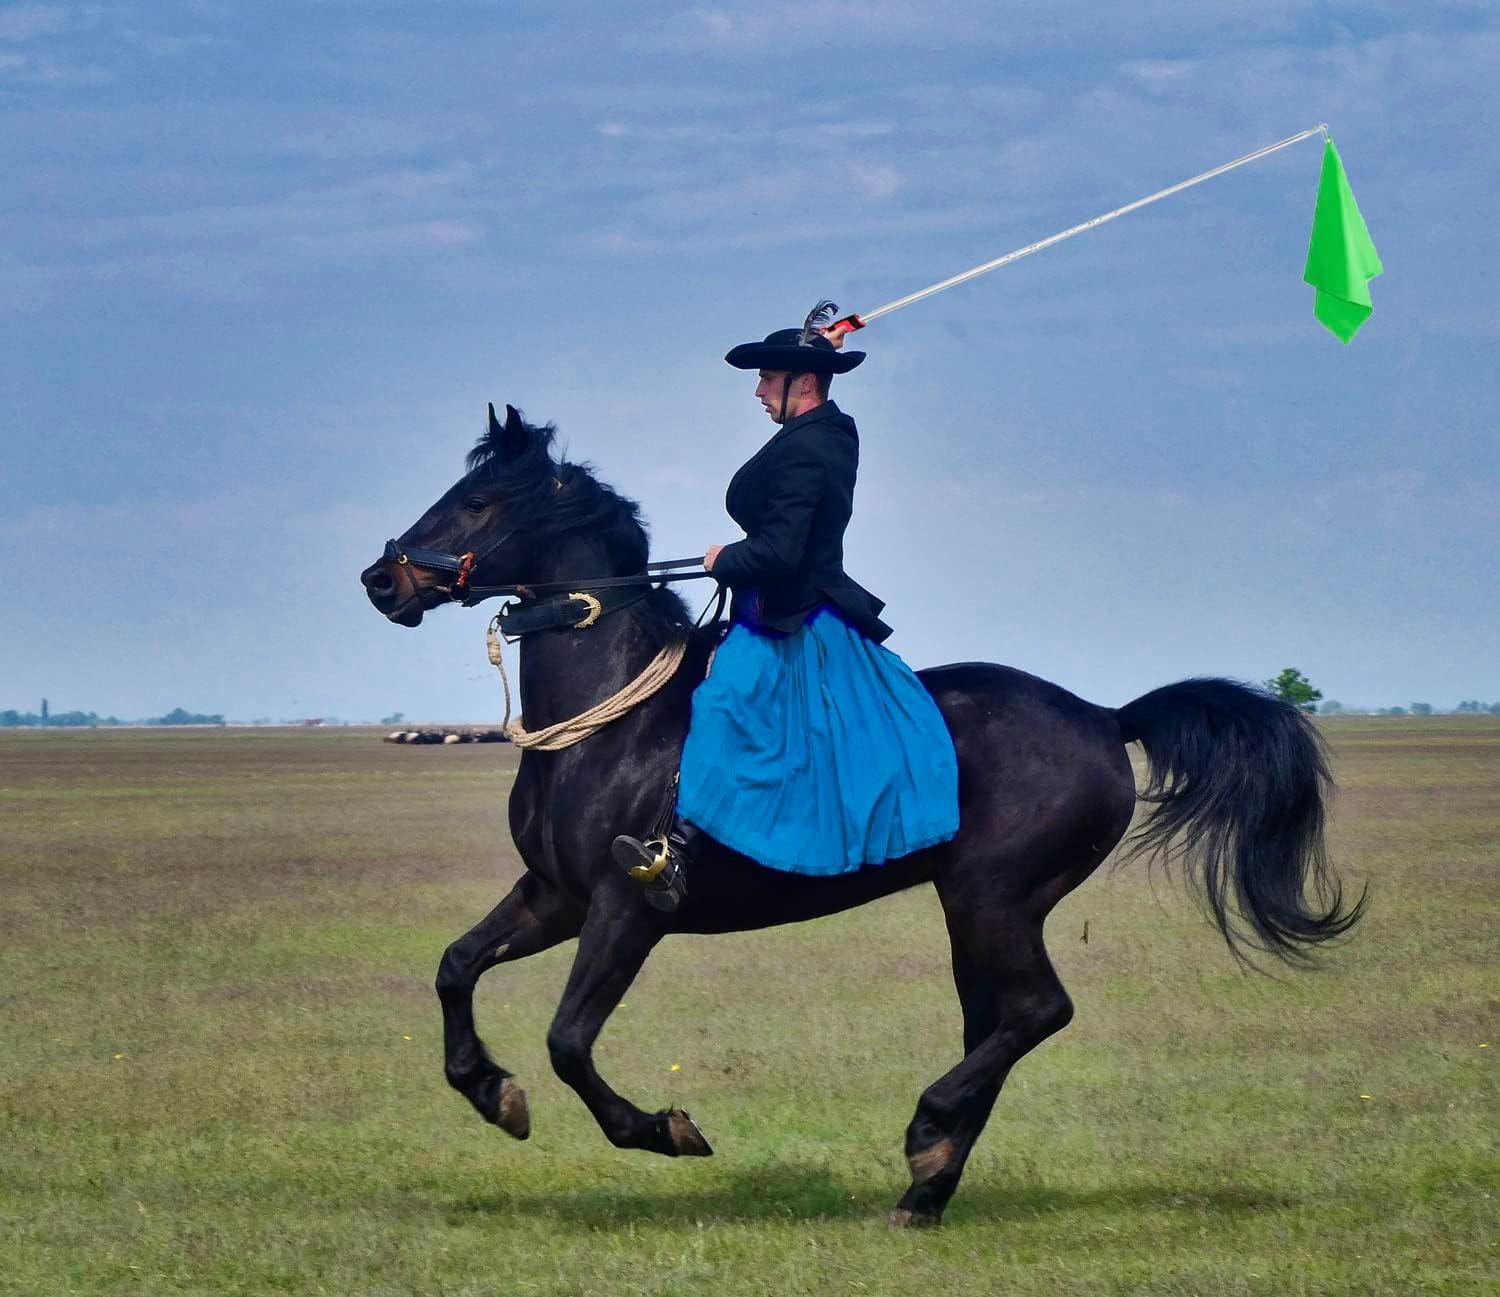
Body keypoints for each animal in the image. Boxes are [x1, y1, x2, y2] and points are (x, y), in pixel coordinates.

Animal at [359, 402, 1362, 1228]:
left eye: (479, 501)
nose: (382, 579)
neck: (615, 718)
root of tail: (1103, 716)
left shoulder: (628, 905)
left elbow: (568, 1042)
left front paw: (664, 1127)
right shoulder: (555, 896)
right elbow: (456, 967)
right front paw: (491, 1090)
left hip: (993, 898)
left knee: (1039, 1009)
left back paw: (927, 1131)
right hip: (978, 911)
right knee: (997, 1024)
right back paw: (928, 1185)